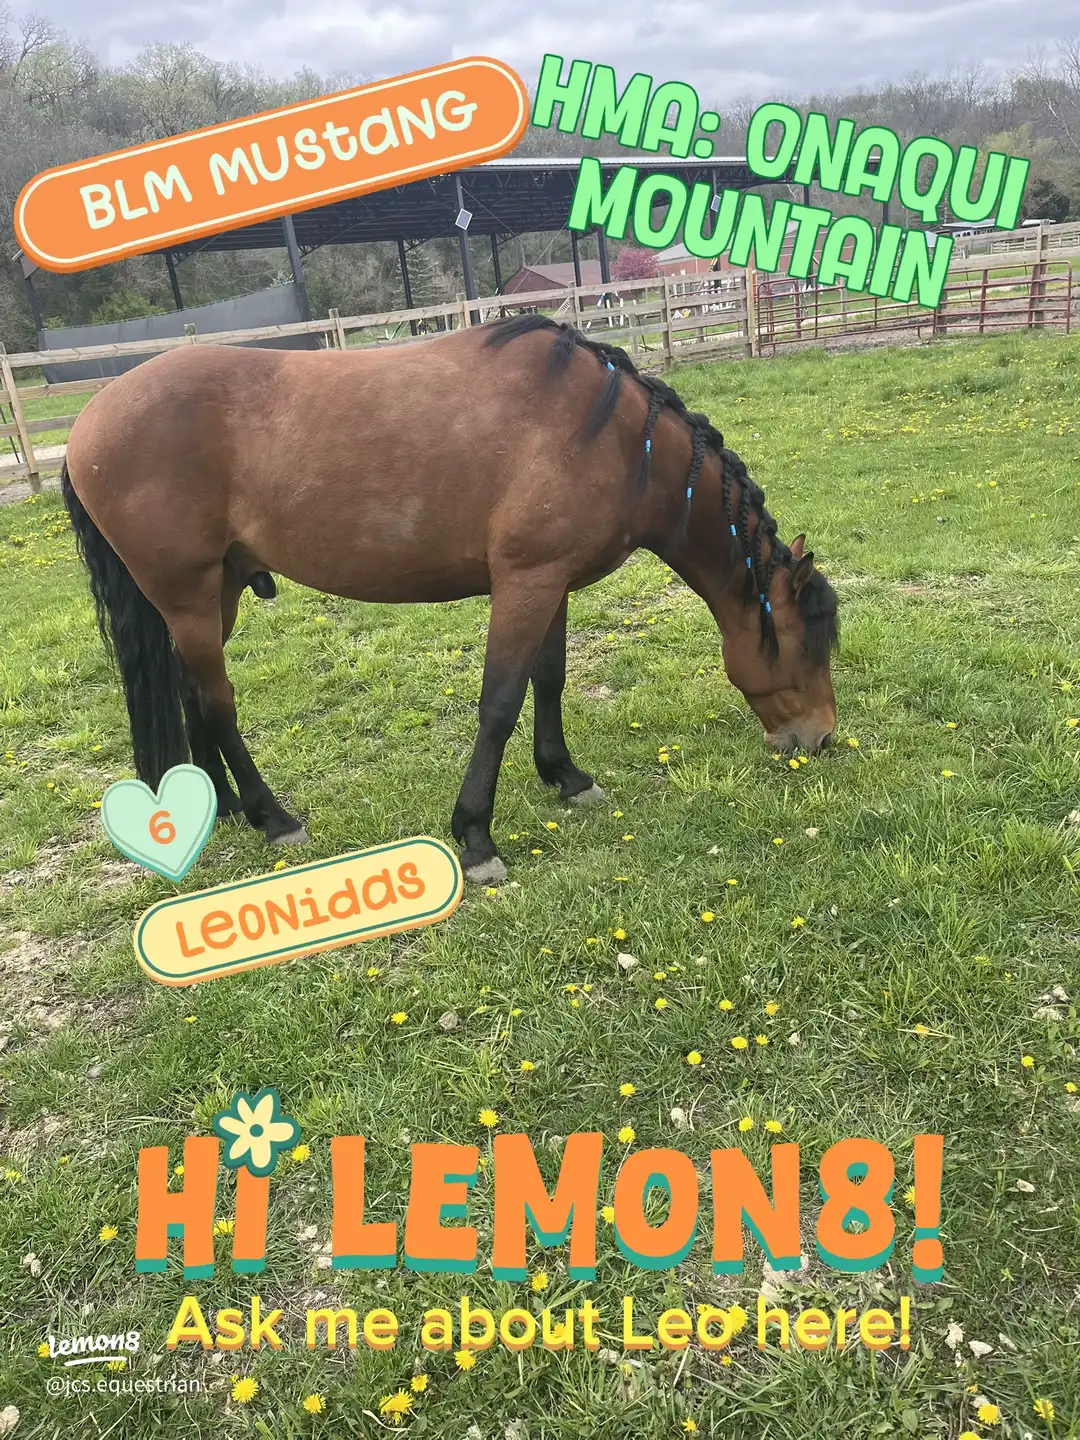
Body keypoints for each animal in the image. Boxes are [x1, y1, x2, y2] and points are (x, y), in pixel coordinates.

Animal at [61, 314, 839, 885]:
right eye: (805, 644)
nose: (822, 739)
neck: (612, 437)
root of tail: (85, 425)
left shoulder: (551, 581)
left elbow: (548, 680)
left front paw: (565, 776)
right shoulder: (524, 582)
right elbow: (499, 703)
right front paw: (476, 836)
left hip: (213, 592)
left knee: (193, 692)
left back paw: (220, 807)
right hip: (190, 596)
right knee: (217, 701)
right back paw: (272, 817)